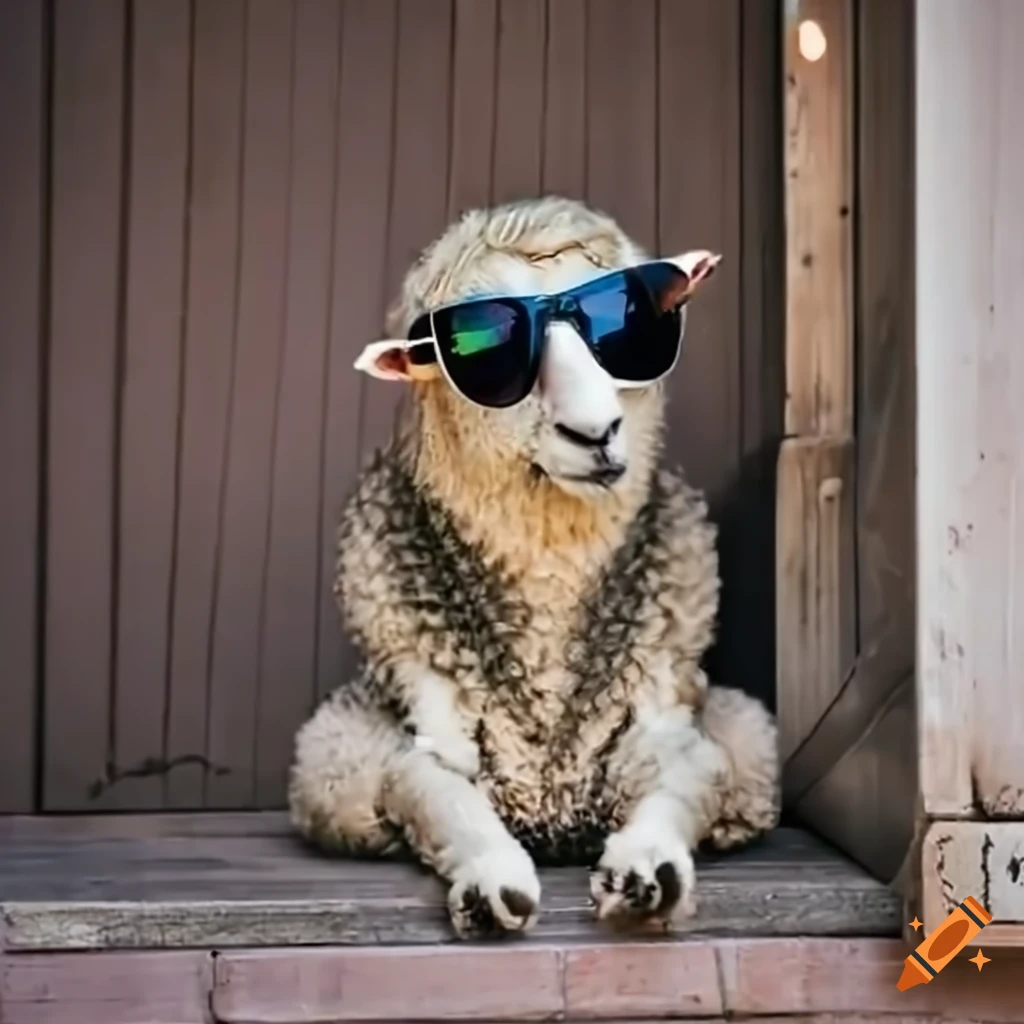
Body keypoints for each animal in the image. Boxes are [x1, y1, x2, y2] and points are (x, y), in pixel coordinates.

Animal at [289, 196, 780, 938]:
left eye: (626, 322)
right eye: (485, 351)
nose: (597, 433)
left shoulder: (666, 722)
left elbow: (689, 780)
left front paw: (649, 871)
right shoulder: (422, 728)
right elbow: (438, 796)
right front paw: (491, 882)